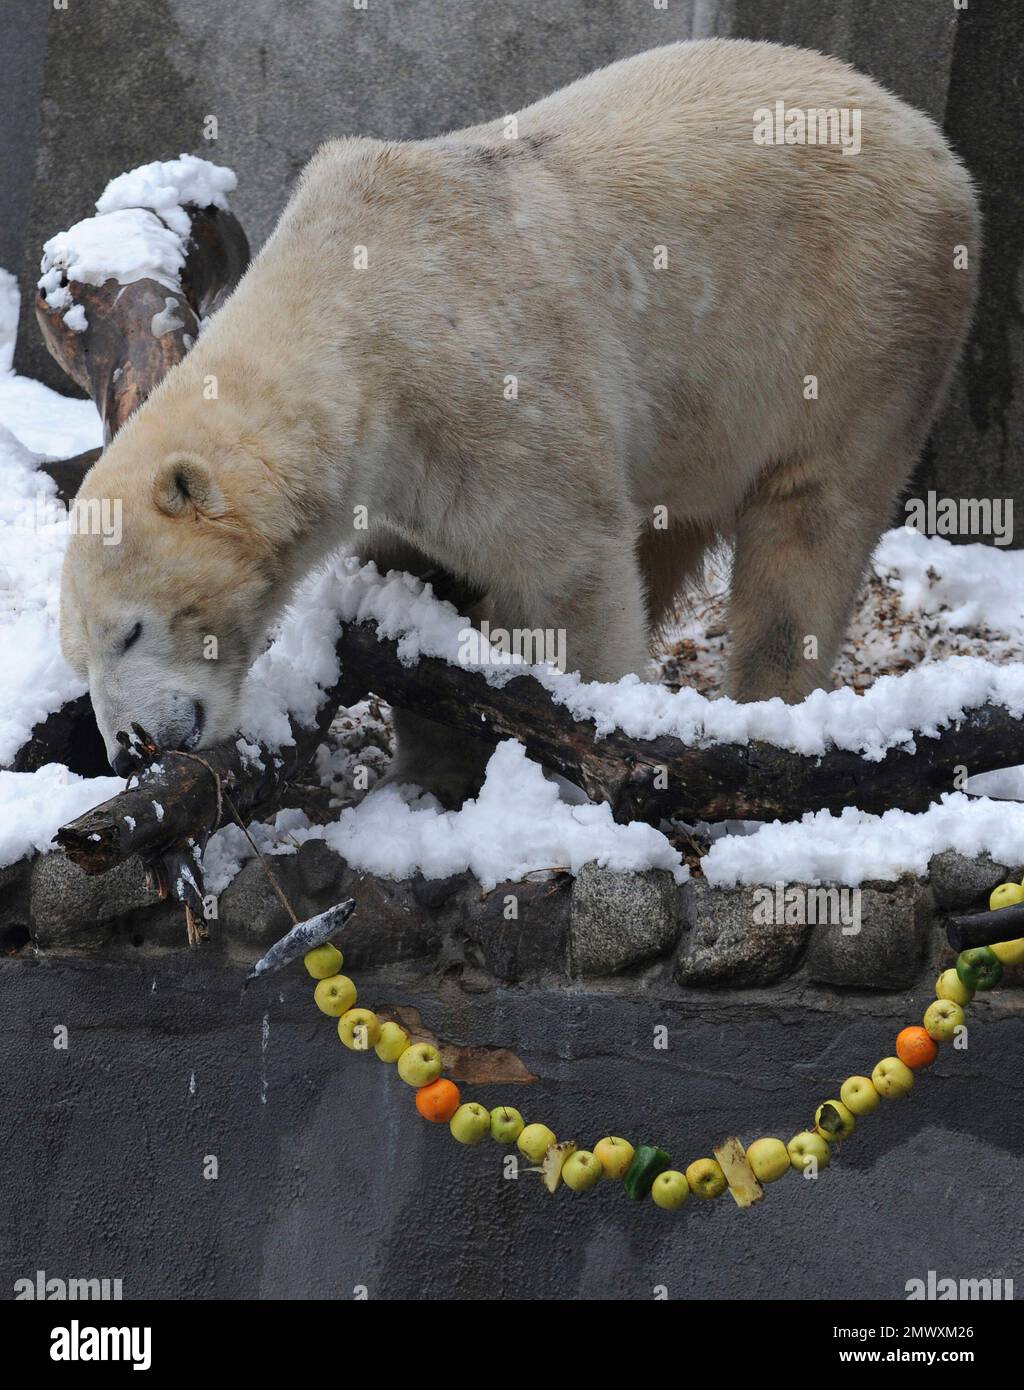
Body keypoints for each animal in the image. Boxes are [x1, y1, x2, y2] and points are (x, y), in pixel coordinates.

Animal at [60, 39, 979, 805]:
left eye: (131, 630)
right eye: (78, 655)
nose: (130, 747)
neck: (352, 315)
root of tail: (934, 143)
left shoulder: (484, 386)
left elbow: (567, 569)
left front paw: (572, 762)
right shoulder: (408, 463)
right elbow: (421, 578)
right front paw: (431, 772)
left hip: (855, 322)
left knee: (808, 529)